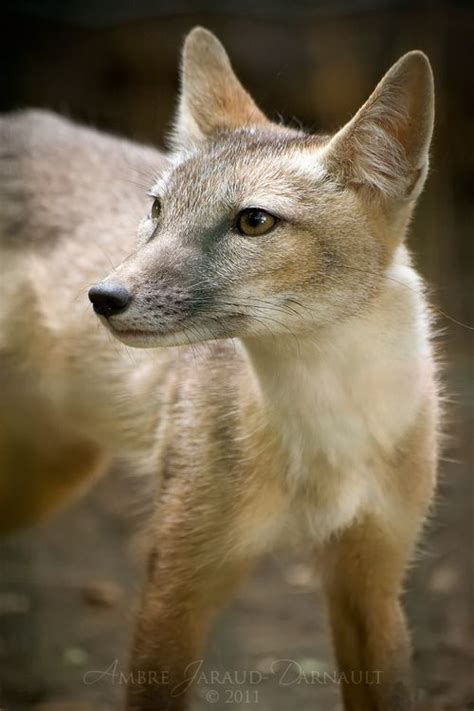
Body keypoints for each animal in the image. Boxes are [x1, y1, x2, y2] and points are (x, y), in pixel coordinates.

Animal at [0, 26, 439, 711]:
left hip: (52, 473)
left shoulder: (372, 582)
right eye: (157, 209)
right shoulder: (178, 582)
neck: (324, 438)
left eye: (254, 221)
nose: (102, 296)